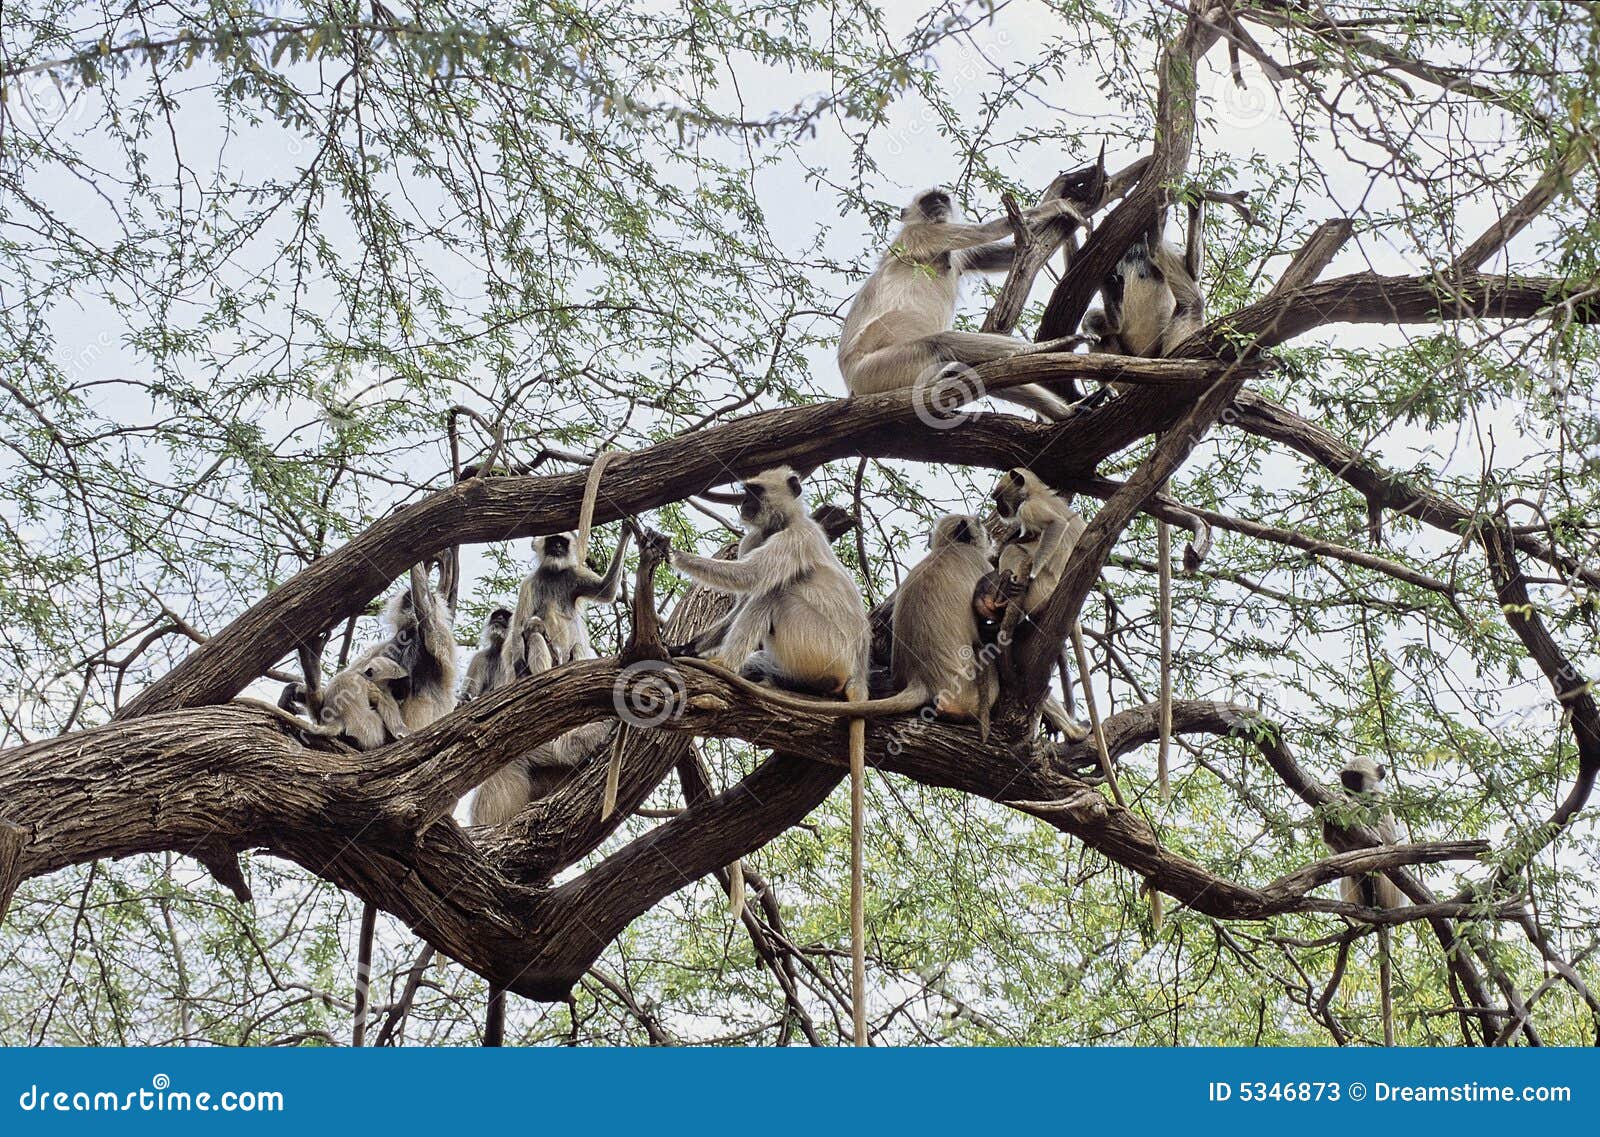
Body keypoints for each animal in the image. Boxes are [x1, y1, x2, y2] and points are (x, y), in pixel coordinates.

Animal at [838, 188, 1085, 421]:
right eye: (928, 201)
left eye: (941, 199)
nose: (937, 205)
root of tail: (850, 384)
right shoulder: (922, 233)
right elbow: (989, 231)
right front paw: (1058, 205)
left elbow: (1019, 251)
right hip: (874, 372)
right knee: (941, 342)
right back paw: (1050, 347)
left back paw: (1062, 411)